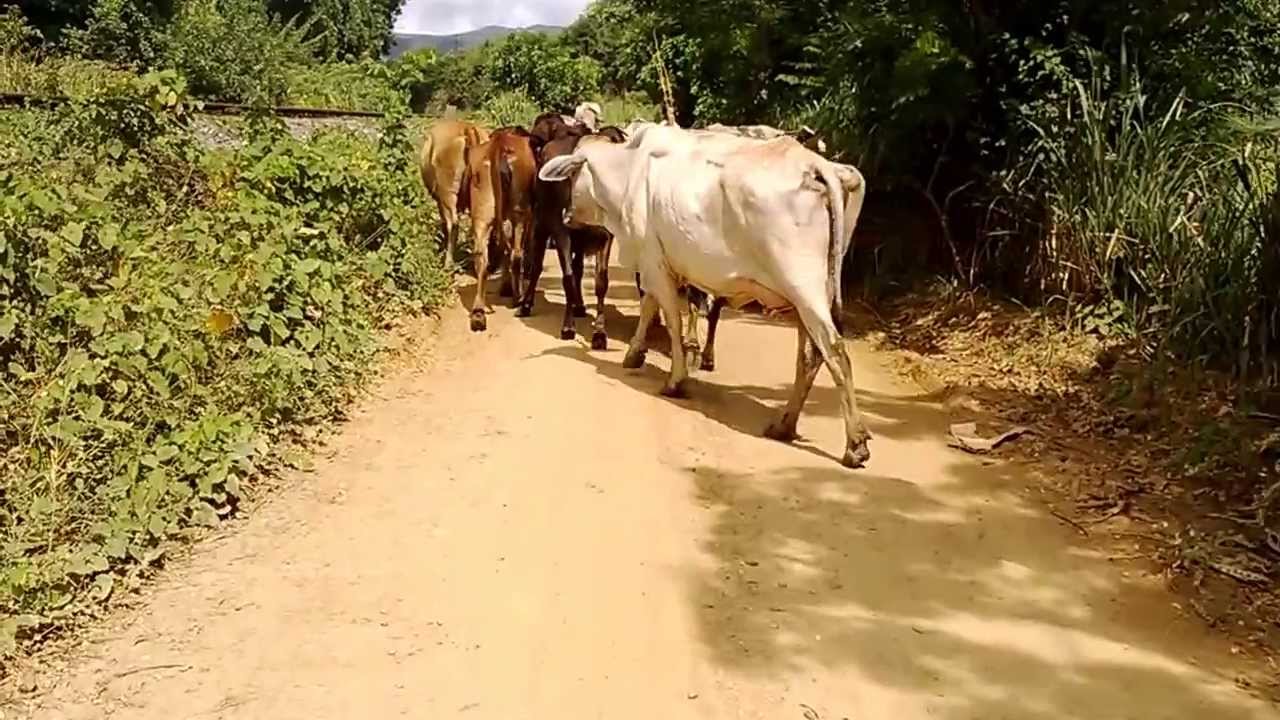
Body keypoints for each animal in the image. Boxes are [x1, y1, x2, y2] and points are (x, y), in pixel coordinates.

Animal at [465, 125, 538, 332]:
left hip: (481, 215)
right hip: (520, 212)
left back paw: (478, 314)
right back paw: (518, 297)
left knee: (482, 258)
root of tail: (498, 146)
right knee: (516, 254)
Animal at [538, 122, 872, 468]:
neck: (628, 170)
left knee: (834, 349)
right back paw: (785, 424)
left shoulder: (654, 261)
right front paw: (635, 353)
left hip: (802, 286)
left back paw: (854, 443)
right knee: (810, 356)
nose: (566, 214)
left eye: (573, 176)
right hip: (811, 294)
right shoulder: (656, 261)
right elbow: (648, 307)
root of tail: (817, 166)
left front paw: (676, 380)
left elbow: (670, 319)